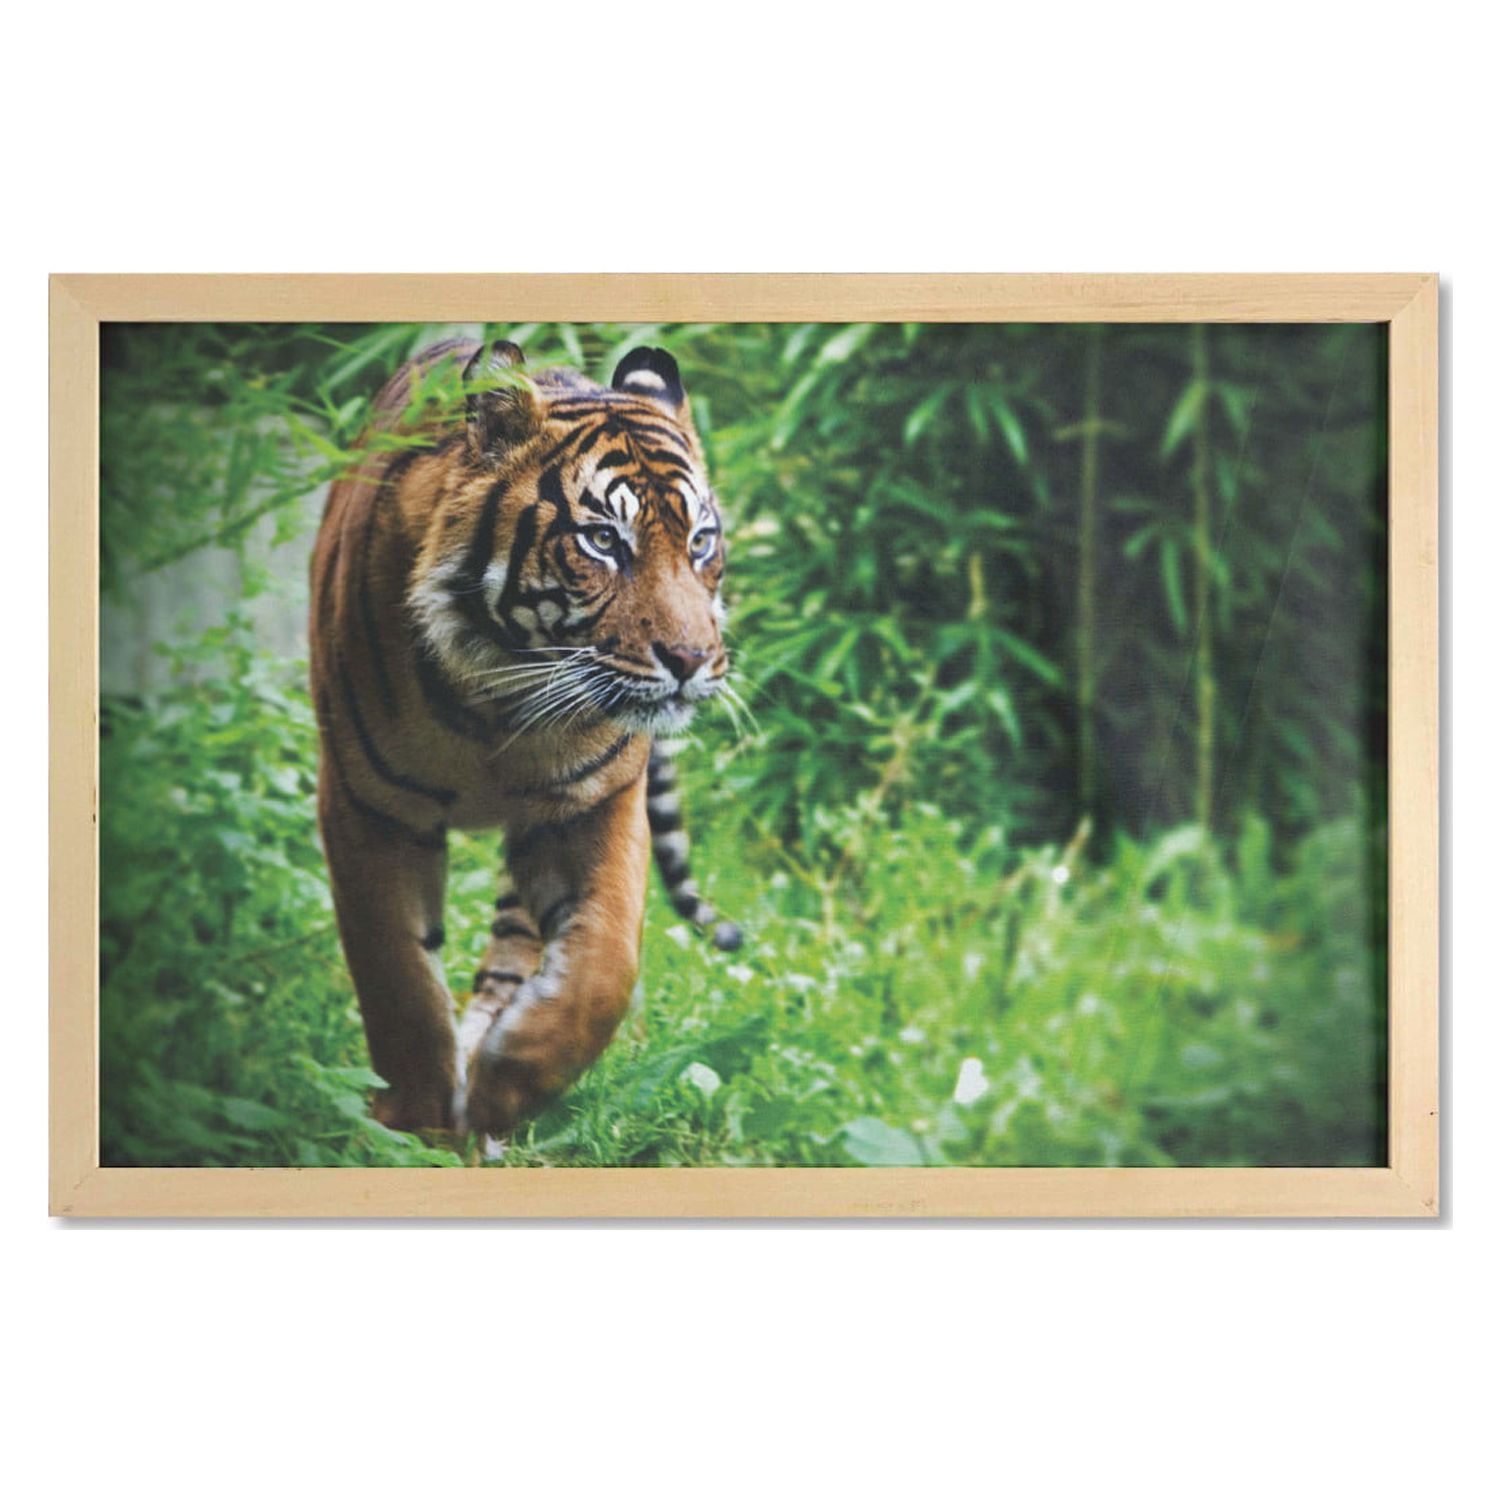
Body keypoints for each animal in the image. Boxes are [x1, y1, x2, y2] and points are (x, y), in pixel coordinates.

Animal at [309, 336, 740, 1142]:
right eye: (603, 540)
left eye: (700, 541)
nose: (693, 659)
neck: (499, 703)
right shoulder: (368, 806)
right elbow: (396, 974)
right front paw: (416, 1125)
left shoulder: (596, 804)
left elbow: (602, 969)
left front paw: (503, 1088)